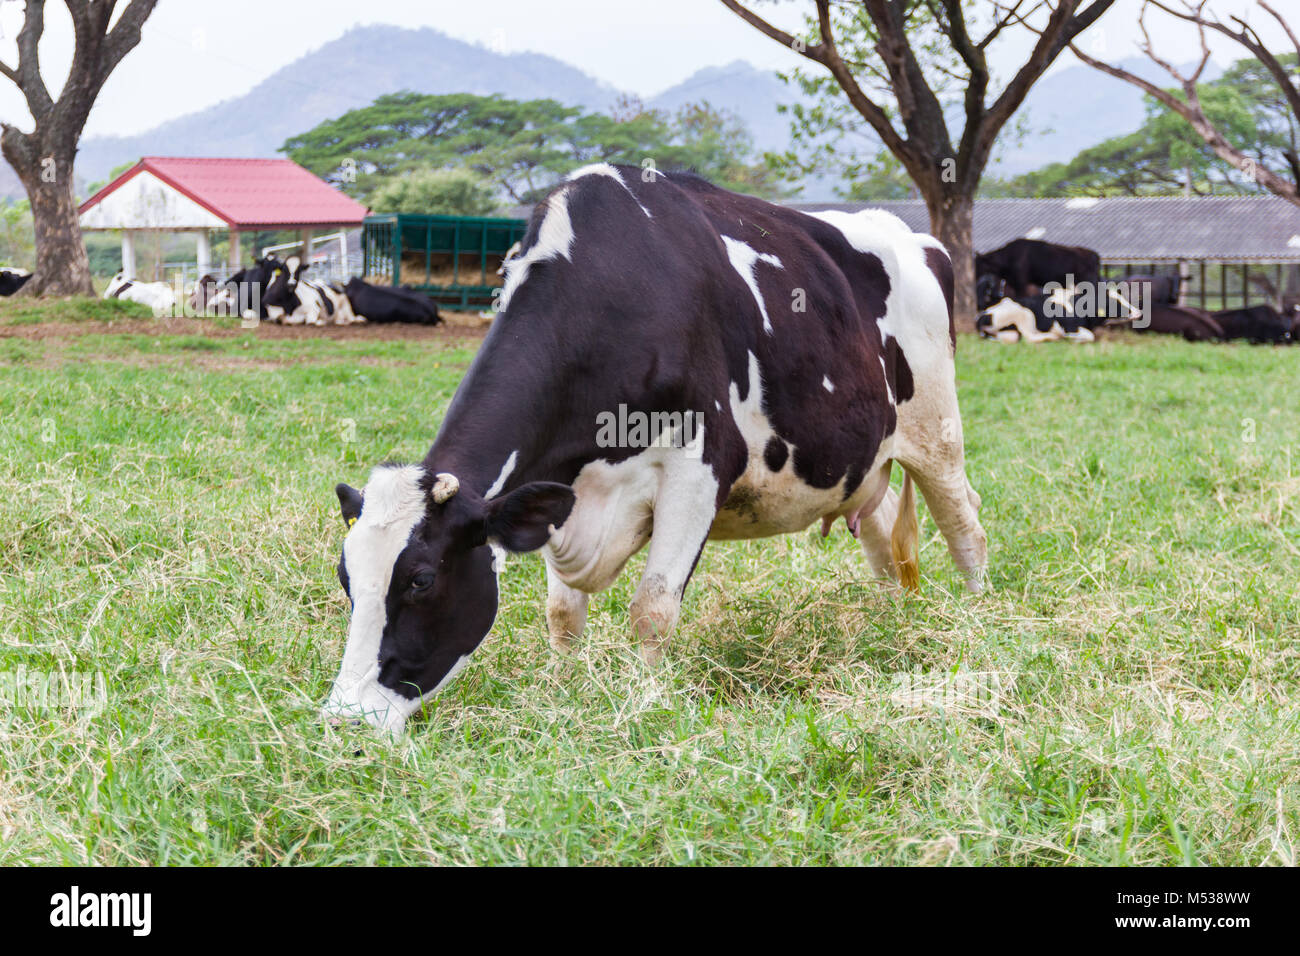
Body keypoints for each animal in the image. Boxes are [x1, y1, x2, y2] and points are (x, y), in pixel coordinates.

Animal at [322, 164, 988, 733]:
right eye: (346, 577)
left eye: (421, 580)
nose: (344, 720)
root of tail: (915, 237)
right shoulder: (565, 493)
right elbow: (563, 617)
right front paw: (562, 690)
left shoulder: (699, 468)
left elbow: (653, 609)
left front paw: (643, 700)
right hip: (863, 465)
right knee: (884, 546)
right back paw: (889, 625)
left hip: (937, 431)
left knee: (966, 529)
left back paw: (978, 625)